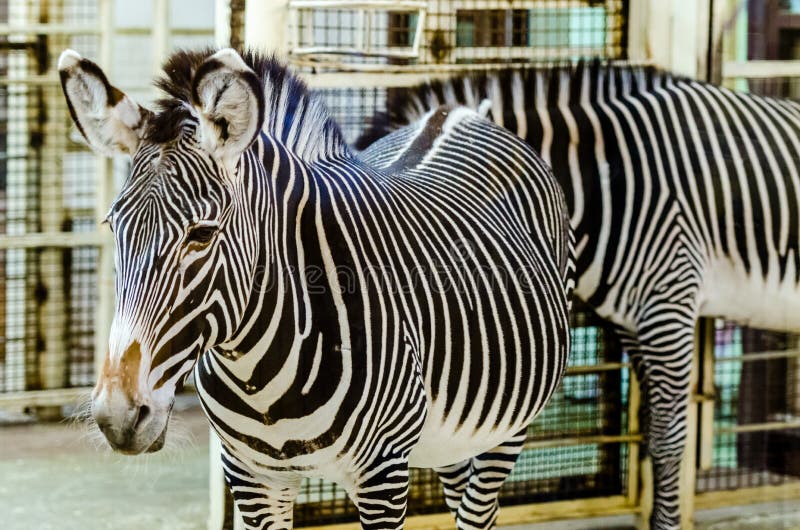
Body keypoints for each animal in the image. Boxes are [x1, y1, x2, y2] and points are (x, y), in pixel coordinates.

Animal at [58, 47, 574, 530]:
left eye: (201, 234)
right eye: (112, 227)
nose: (117, 416)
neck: (258, 376)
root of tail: (462, 114)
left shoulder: (383, 473)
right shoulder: (251, 476)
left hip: (507, 426)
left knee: (478, 511)